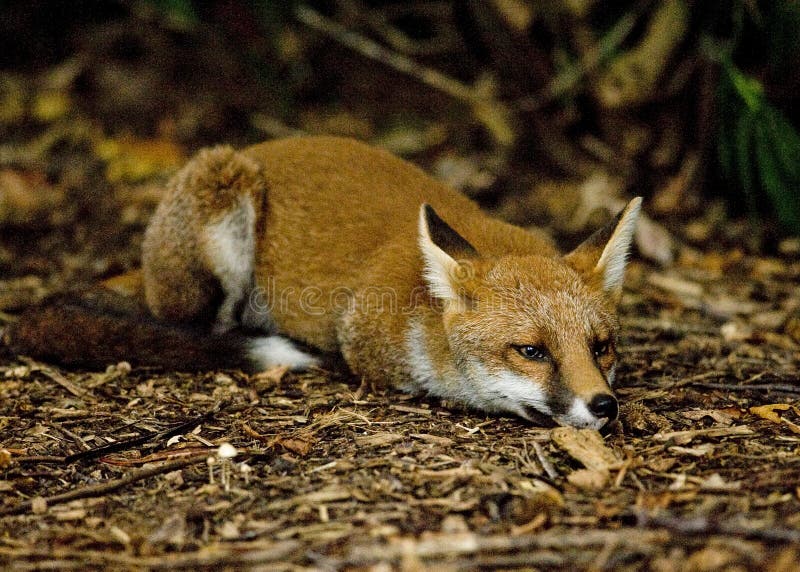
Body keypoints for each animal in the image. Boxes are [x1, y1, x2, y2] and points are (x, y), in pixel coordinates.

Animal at [5, 136, 642, 429]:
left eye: (601, 347)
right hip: (223, 203)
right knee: (197, 330)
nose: (603, 405)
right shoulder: (364, 343)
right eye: (531, 351)